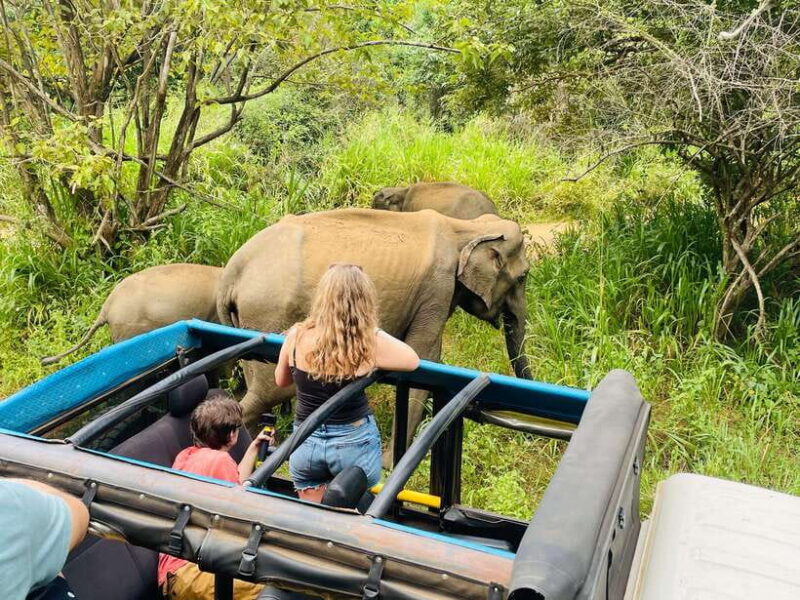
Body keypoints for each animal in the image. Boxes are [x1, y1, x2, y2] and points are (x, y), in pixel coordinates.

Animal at [216, 208, 532, 454]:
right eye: (524, 276)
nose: (528, 435)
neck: (469, 227)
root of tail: (232, 271)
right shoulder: (437, 287)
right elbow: (422, 356)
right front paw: (390, 463)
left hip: (248, 319)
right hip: (269, 313)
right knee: (266, 394)